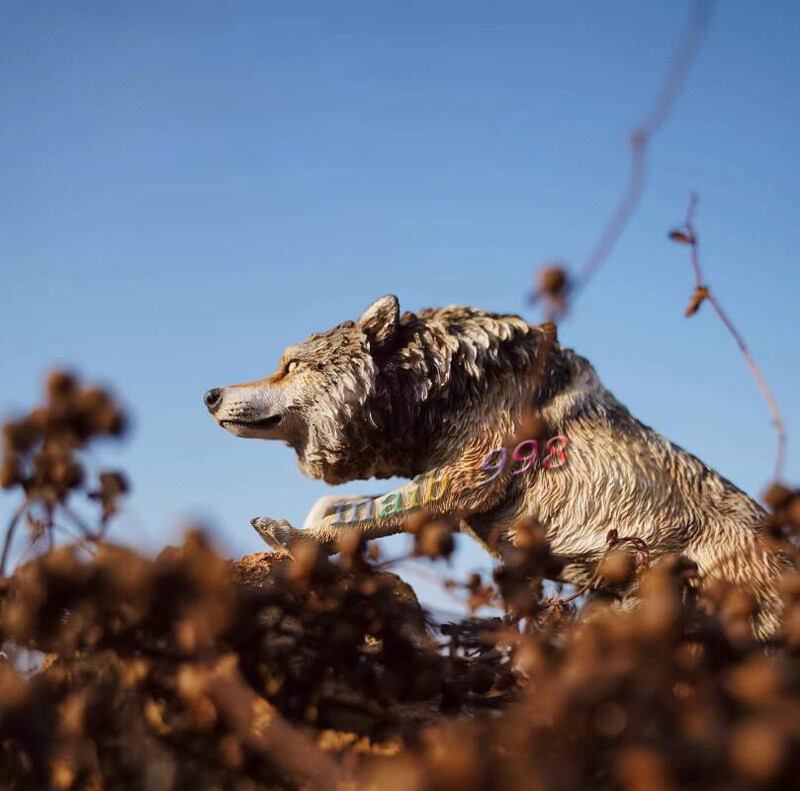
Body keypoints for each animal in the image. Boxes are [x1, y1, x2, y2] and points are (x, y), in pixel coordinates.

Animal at [205, 295, 790, 639]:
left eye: (290, 365)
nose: (209, 395)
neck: (445, 380)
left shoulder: (468, 479)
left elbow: (351, 516)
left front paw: (294, 538)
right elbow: (334, 504)